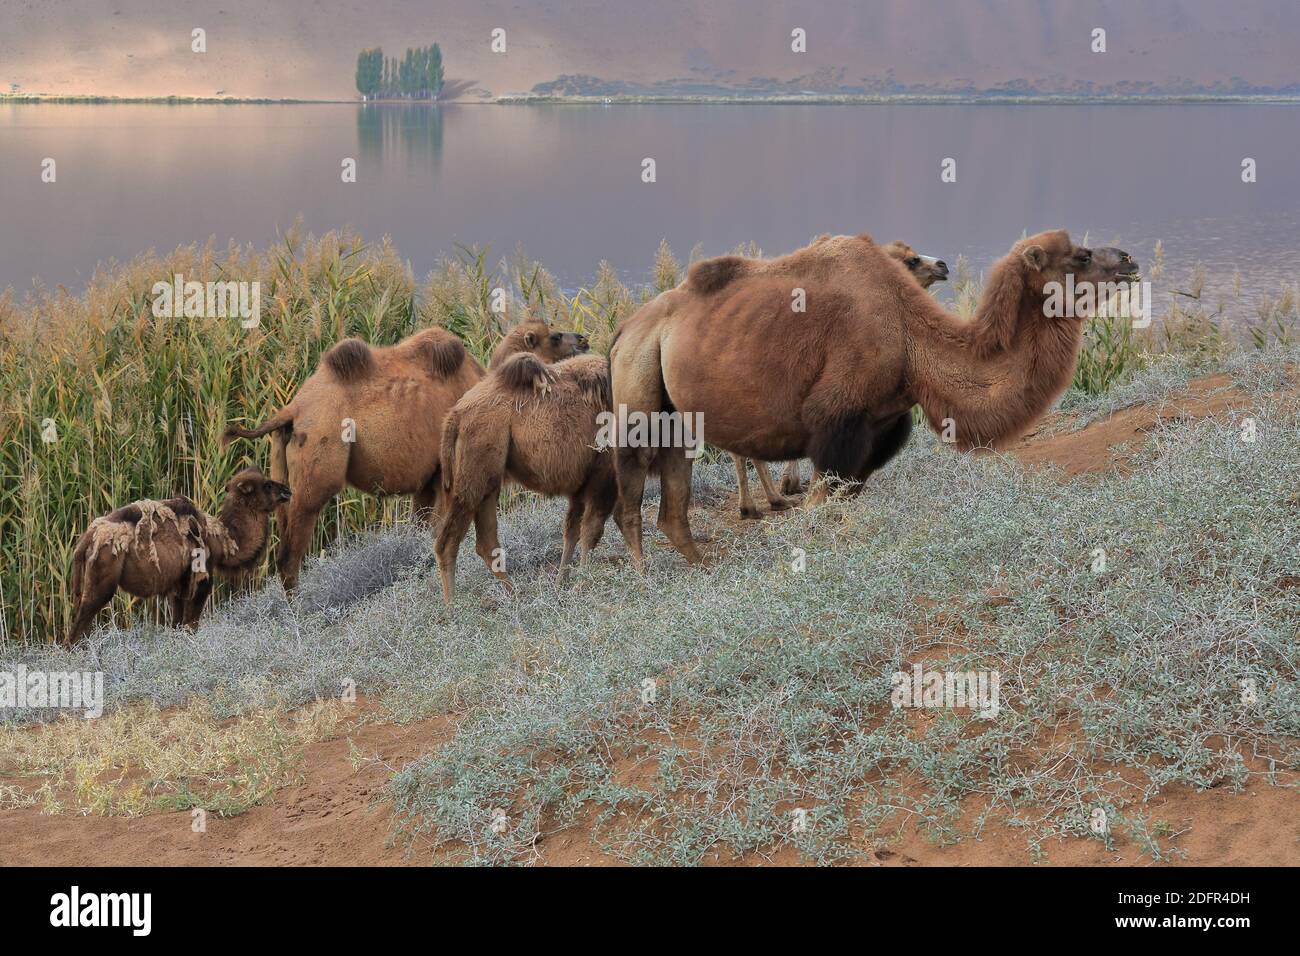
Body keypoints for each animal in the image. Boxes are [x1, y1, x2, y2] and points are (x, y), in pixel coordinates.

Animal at [65, 467, 290, 645]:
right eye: (267, 485)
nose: (287, 490)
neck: (222, 540)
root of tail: (88, 538)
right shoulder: (201, 580)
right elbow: (191, 625)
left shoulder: (178, 586)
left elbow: (177, 624)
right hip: (101, 584)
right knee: (77, 629)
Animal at [223, 320, 587, 591]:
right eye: (554, 336)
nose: (583, 338)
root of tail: (292, 410)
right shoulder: (444, 472)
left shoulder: (426, 479)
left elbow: (420, 526)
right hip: (320, 455)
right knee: (294, 543)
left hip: (283, 465)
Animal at [435, 351, 630, 604]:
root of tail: (454, 417)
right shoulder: (603, 474)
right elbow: (593, 529)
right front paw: (582, 583)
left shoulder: (581, 483)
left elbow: (572, 530)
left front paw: (561, 583)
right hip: (473, 478)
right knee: (448, 543)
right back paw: (453, 607)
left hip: (487, 481)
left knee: (485, 542)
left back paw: (515, 595)